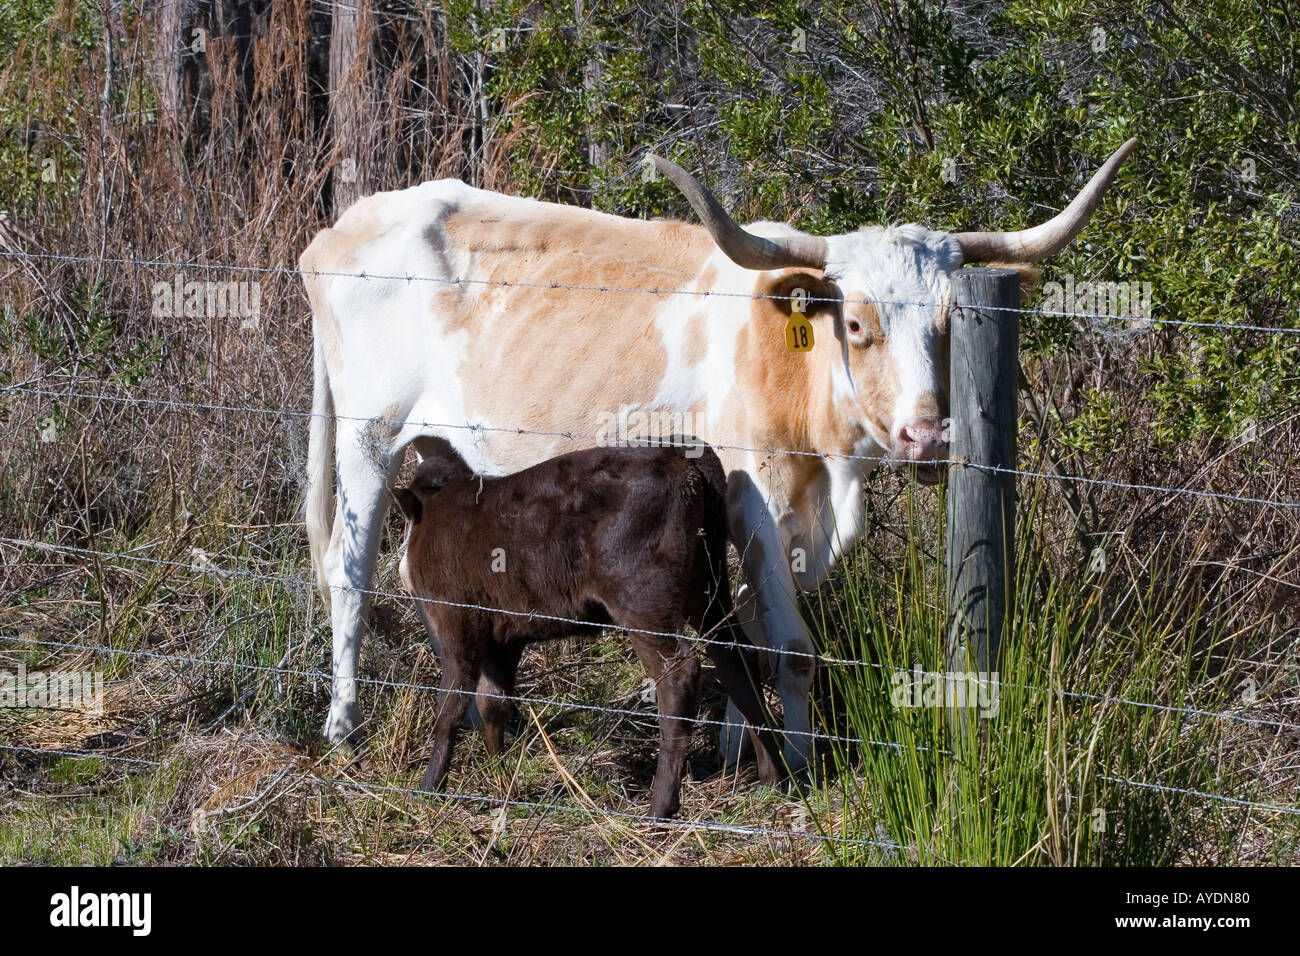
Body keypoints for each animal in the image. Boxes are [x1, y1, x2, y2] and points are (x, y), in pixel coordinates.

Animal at [300, 139, 1136, 772]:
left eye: (947, 323)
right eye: (856, 324)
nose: (927, 436)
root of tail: (344, 226)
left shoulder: (798, 520)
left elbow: (747, 623)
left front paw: (744, 747)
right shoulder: (753, 496)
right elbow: (790, 647)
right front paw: (797, 764)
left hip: (442, 449)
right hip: (369, 436)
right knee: (349, 567)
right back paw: (343, 726)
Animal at [393, 441, 783, 818]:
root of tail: (681, 456)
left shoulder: (458, 622)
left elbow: (450, 706)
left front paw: (429, 787)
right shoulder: (503, 636)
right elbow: (492, 700)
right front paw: (498, 772)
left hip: (642, 601)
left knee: (679, 675)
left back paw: (660, 807)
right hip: (707, 588)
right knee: (738, 659)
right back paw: (772, 776)